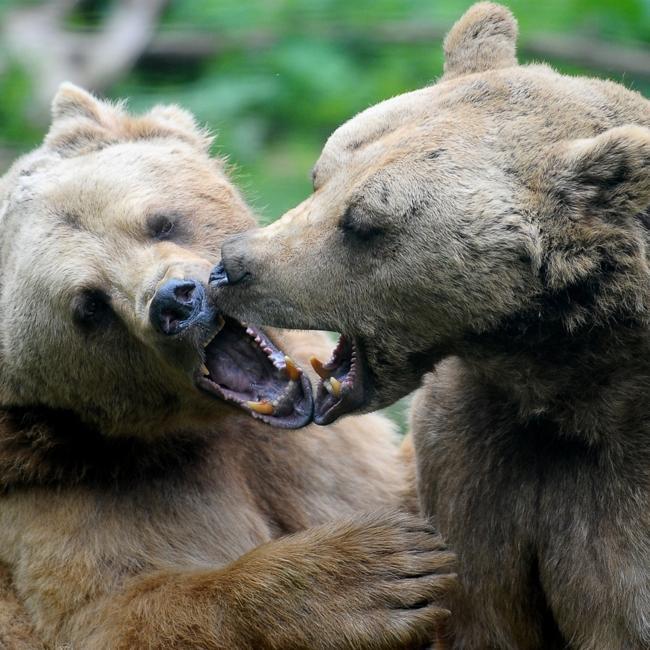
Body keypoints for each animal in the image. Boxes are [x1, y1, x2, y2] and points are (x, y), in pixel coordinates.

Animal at [0, 83, 456, 649]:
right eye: (89, 306)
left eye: (160, 221)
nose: (177, 302)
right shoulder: (69, 501)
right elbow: (114, 612)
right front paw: (374, 573)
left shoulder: (315, 456)